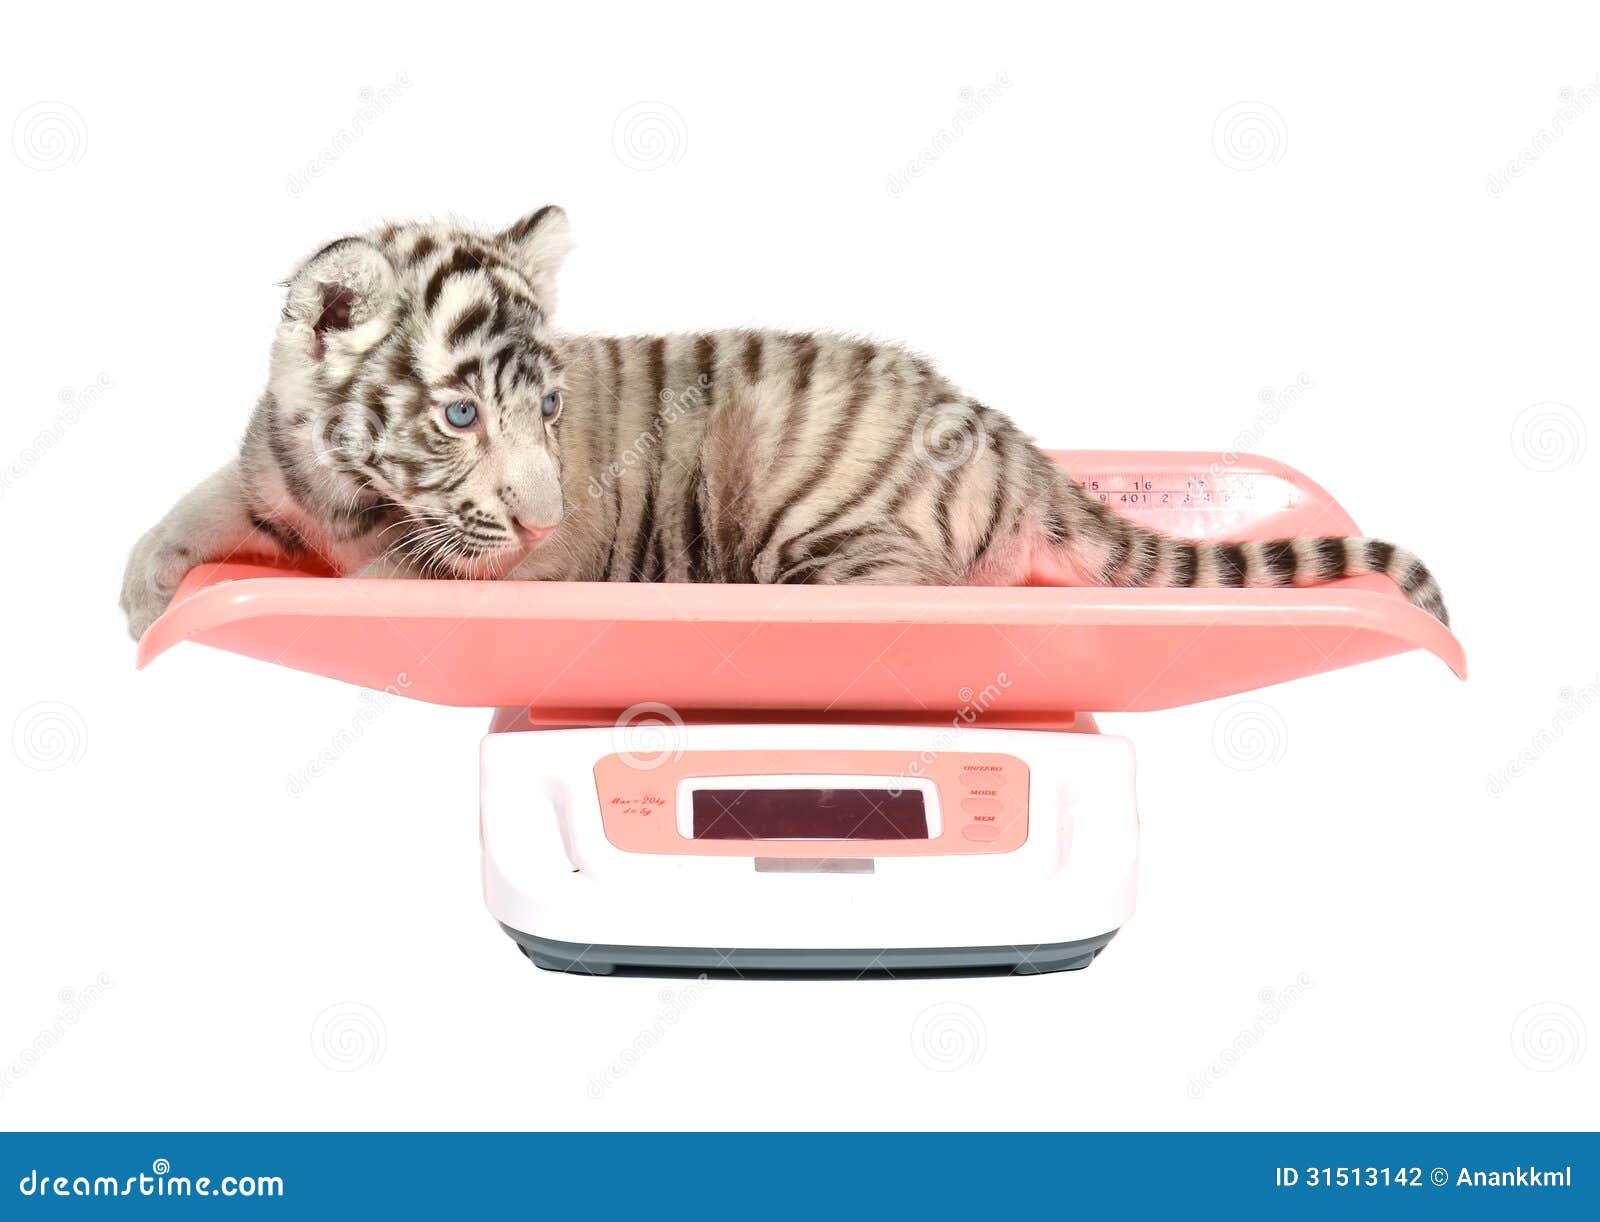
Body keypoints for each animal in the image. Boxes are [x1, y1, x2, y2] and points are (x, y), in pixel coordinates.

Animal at [118, 204, 1448, 639]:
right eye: (456, 413)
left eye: (544, 405)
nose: (540, 515)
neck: (345, 488)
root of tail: (1010, 441)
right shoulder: (267, 475)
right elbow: (193, 504)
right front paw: (142, 594)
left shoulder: (473, 569)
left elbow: (391, 579)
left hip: (830, 528)